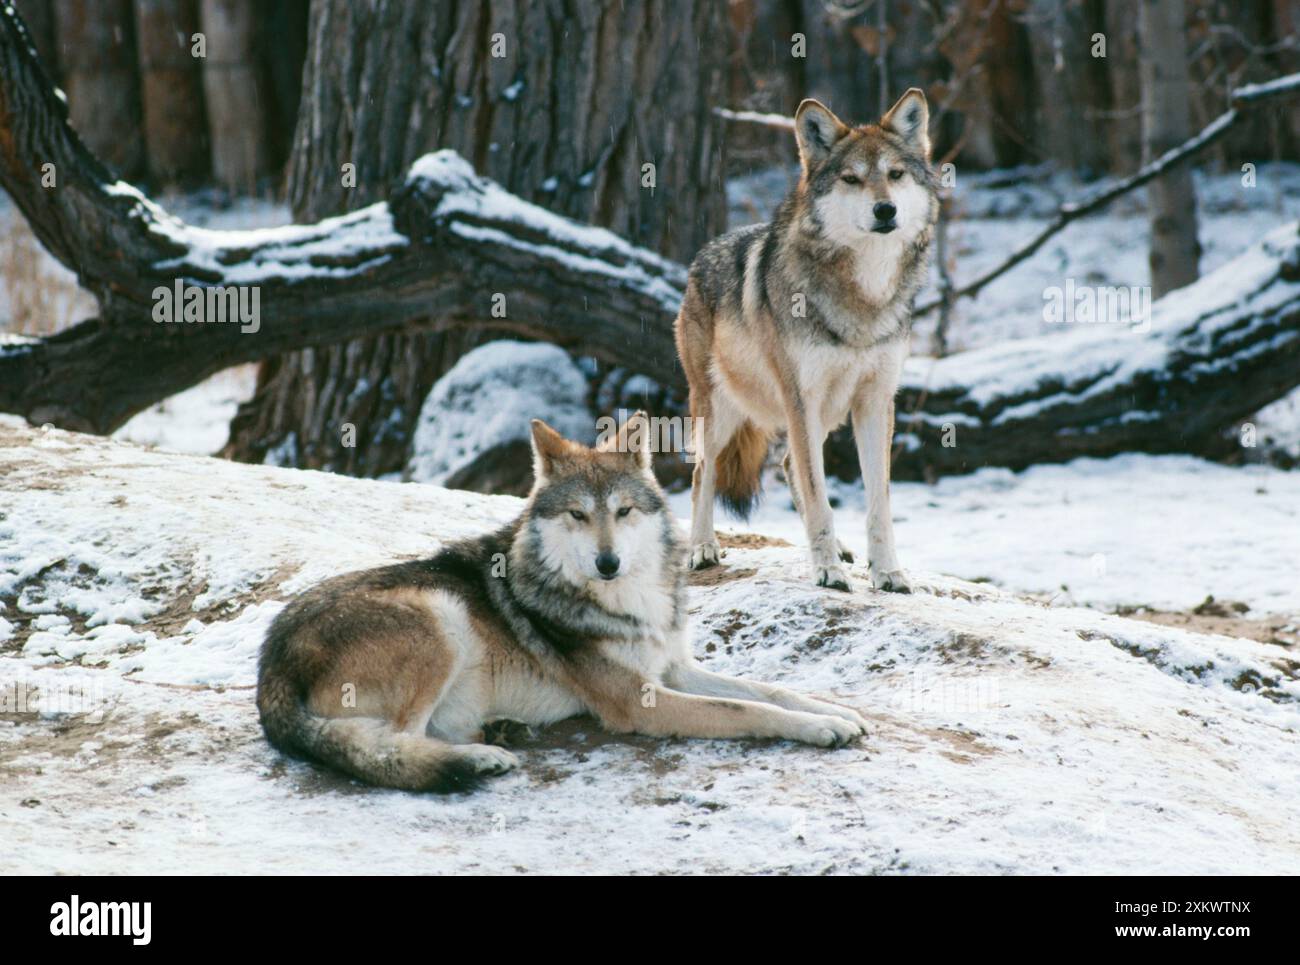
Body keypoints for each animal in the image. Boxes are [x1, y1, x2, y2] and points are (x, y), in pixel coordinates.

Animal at [256, 413, 867, 792]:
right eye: (577, 514)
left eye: (622, 511)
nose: (607, 563)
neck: (627, 600)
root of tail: (269, 668)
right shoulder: (641, 702)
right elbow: (747, 711)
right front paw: (819, 729)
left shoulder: (671, 667)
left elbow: (771, 691)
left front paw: (838, 713)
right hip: (440, 616)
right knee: (396, 745)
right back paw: (482, 757)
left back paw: (499, 732)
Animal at [676, 90, 938, 593]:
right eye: (851, 179)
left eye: (895, 175)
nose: (885, 210)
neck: (863, 294)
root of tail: (701, 254)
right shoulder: (802, 399)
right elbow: (818, 494)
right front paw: (827, 572)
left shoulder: (876, 401)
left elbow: (879, 503)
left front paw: (887, 572)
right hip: (720, 410)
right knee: (703, 473)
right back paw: (702, 548)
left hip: (824, 415)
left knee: (785, 466)